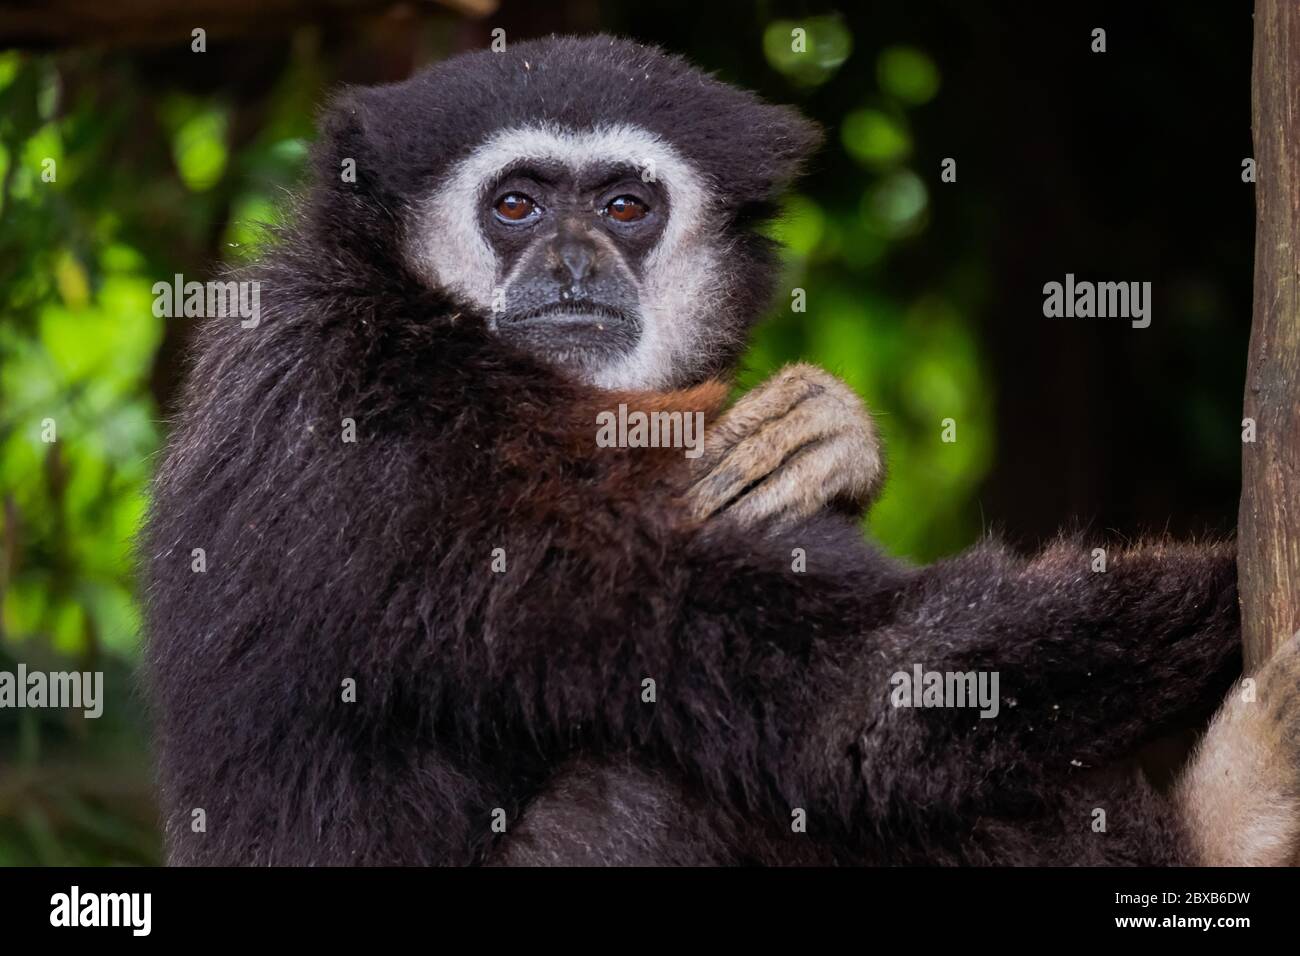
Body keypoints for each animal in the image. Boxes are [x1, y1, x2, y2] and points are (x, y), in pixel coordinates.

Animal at [142, 35, 1300, 867]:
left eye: (624, 204)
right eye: (515, 203)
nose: (571, 260)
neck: (399, 295)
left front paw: (825, 433)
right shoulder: (414, 435)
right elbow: (870, 703)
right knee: (660, 780)